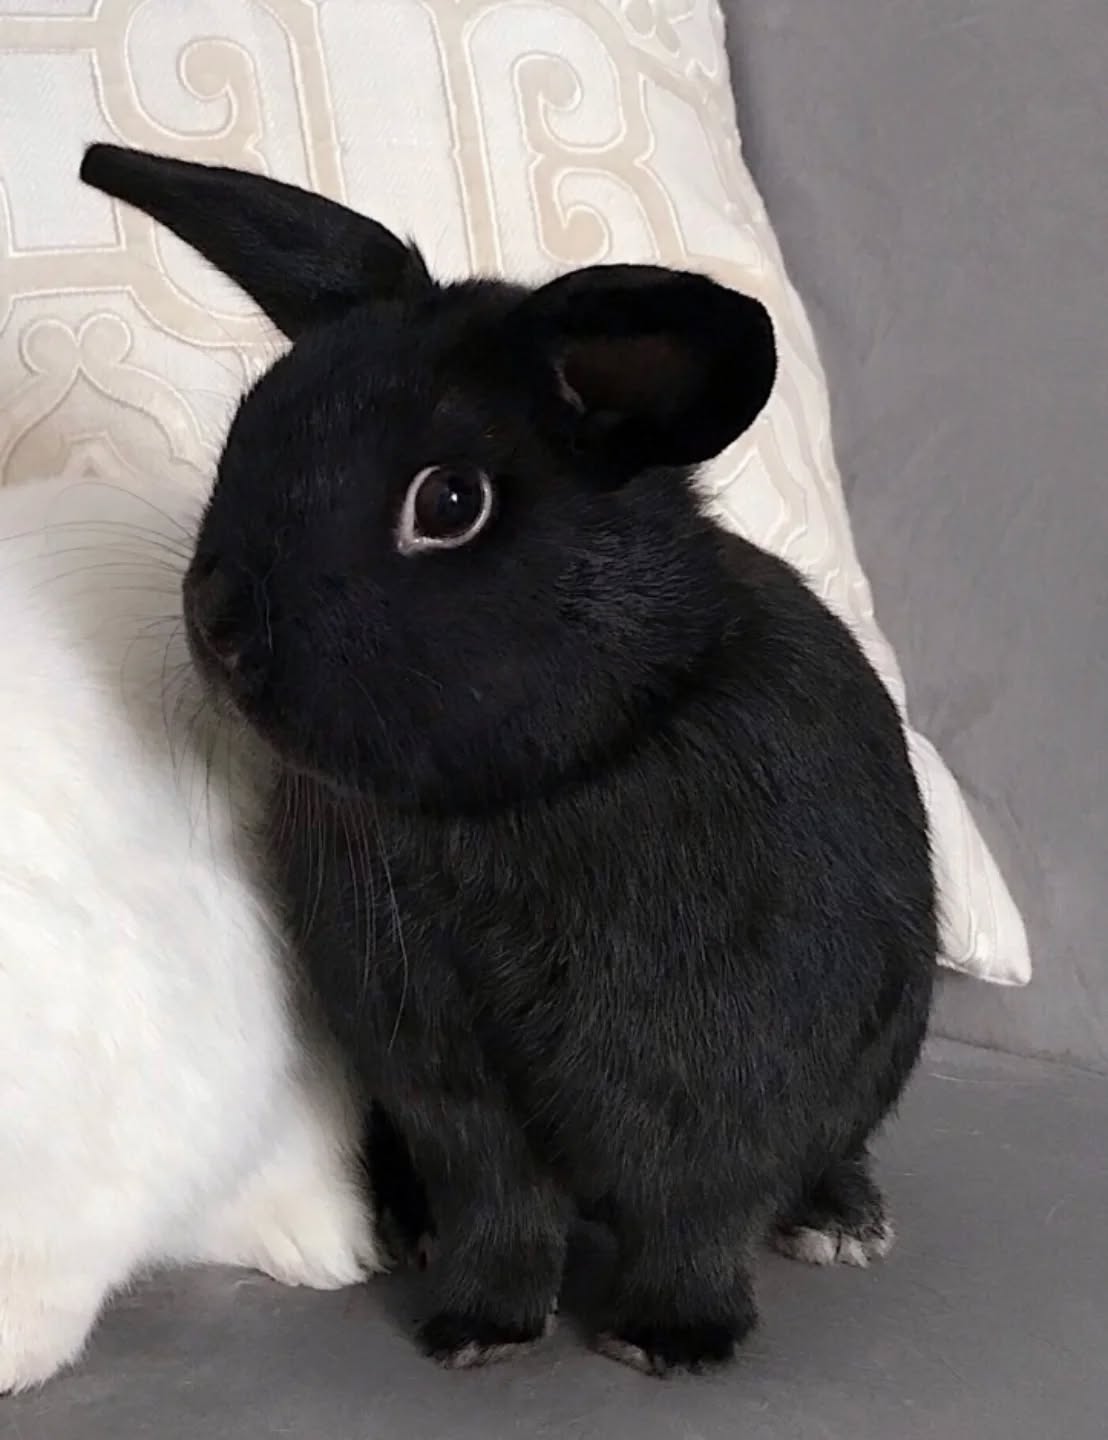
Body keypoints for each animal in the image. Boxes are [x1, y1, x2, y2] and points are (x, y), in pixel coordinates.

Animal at [80, 143, 937, 1377]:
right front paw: (478, 1331)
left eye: (449, 502)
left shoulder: (724, 1079)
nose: (218, 617)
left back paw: (839, 1221)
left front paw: (670, 1340)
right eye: (251, 428)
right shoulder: (446, 1083)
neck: (545, 783)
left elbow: (696, 1211)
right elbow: (499, 1206)